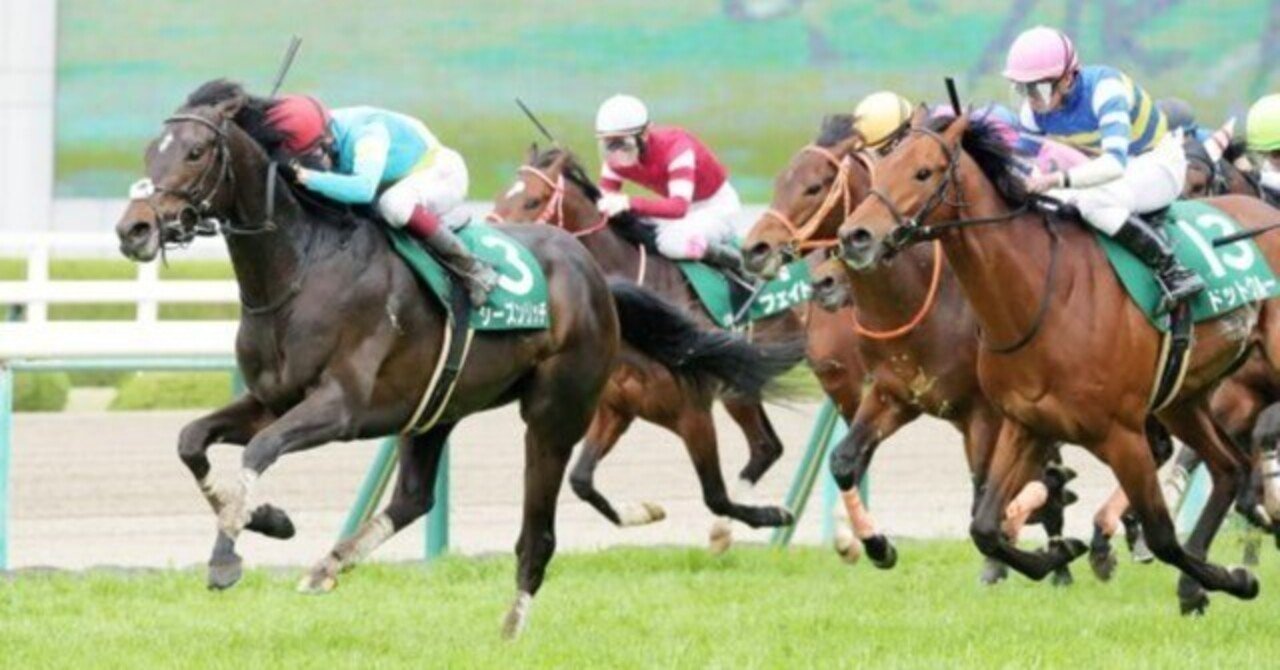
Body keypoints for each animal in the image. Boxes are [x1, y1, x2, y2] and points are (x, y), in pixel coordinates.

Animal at [490, 147, 806, 553]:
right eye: (501, 195)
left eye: (532, 200)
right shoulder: (616, 409)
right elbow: (581, 480)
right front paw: (642, 512)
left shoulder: (693, 413)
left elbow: (715, 496)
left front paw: (773, 515)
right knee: (767, 446)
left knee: (768, 446)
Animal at [743, 113, 1075, 582]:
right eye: (779, 181)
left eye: (815, 186)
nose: (755, 248)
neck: (919, 299)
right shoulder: (891, 395)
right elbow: (844, 460)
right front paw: (876, 544)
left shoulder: (985, 413)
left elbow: (987, 488)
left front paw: (1006, 559)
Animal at [837, 108, 1280, 613]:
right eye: (880, 171)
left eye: (923, 172)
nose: (855, 236)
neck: (1042, 297)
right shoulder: (1024, 422)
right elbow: (984, 526)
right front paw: (1059, 553)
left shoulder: (1121, 434)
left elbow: (1162, 536)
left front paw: (1236, 579)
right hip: (1182, 398)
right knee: (1230, 468)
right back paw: (1191, 583)